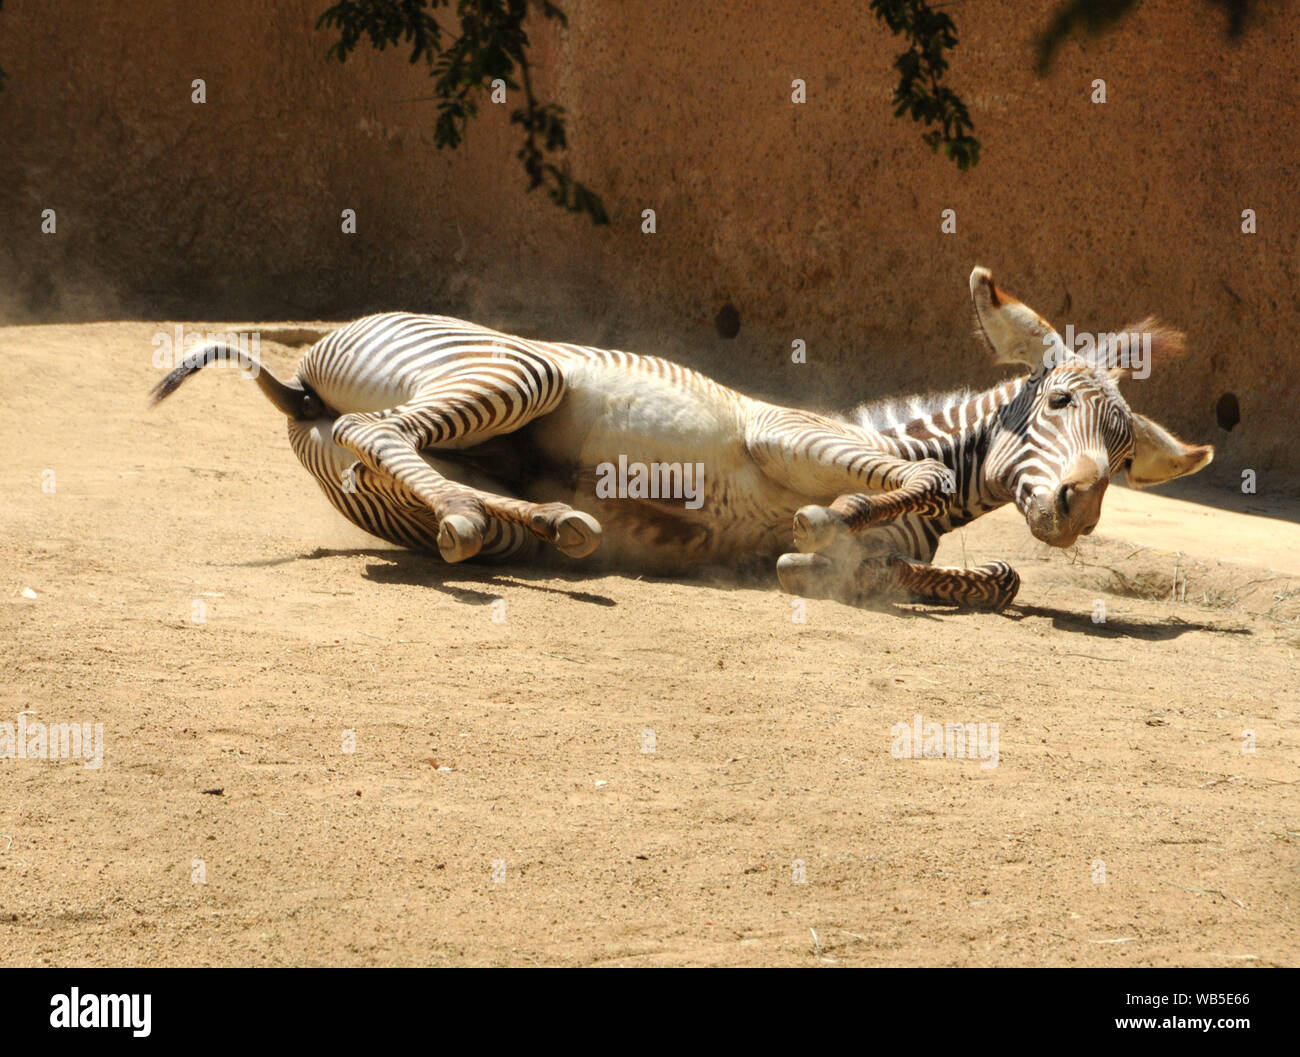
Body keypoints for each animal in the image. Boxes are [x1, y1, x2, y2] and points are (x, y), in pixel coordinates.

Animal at [150, 267, 1213, 611]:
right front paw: (830, 528)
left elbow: (995, 576)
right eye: (1059, 400)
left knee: (413, 462)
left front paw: (830, 562)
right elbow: (892, 485)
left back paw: (541, 520)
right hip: (516, 370)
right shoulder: (792, 437)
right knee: (386, 428)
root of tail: (302, 367)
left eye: (1127, 458)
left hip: (396, 464)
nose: (1078, 510)